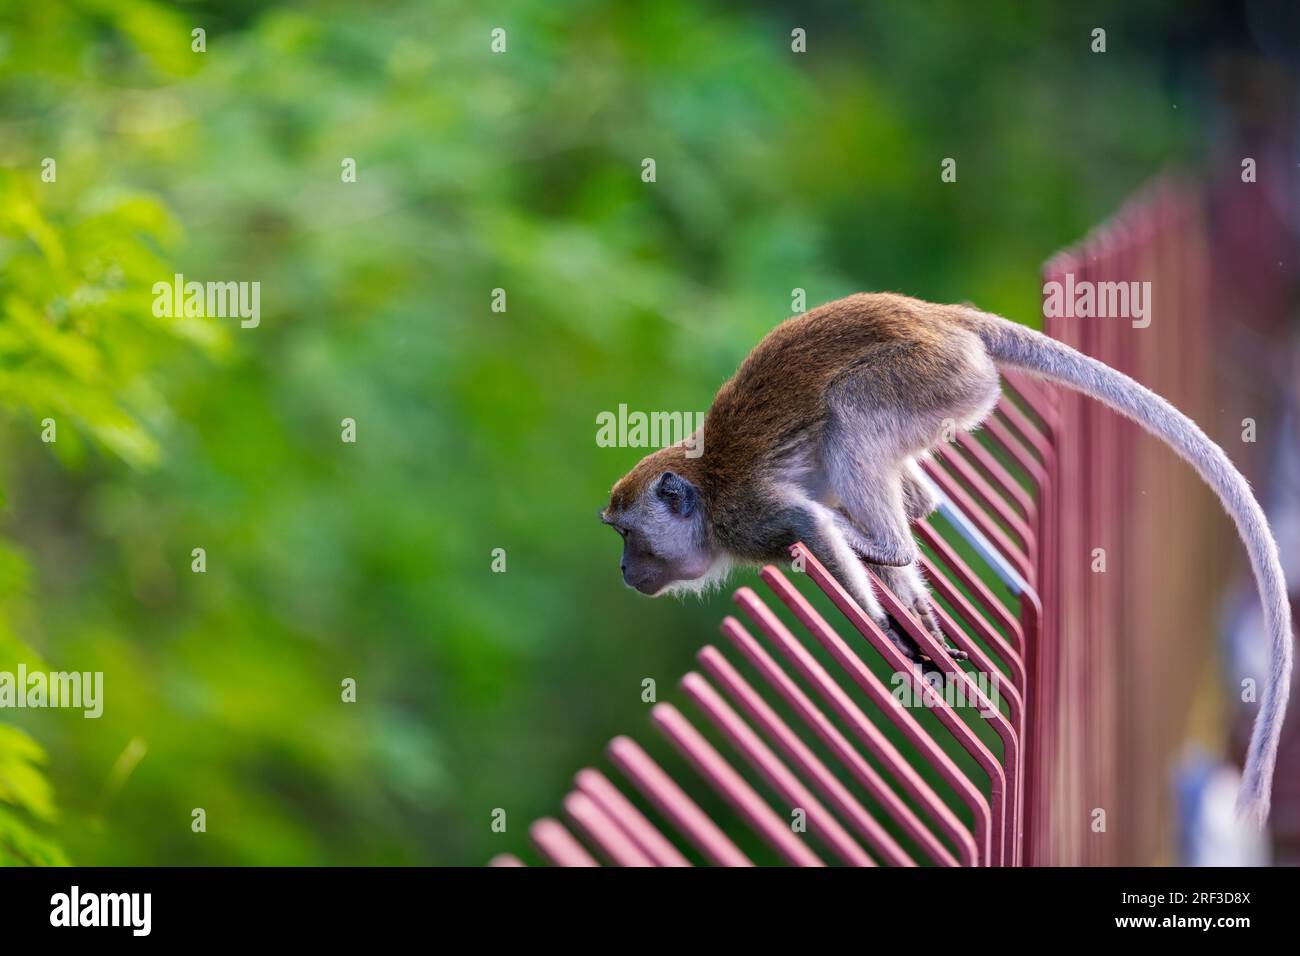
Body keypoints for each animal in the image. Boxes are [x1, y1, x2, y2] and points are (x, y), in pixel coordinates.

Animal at [601, 292, 1293, 824]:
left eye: (628, 534)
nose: (624, 569)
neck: (708, 495)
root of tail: (945, 316)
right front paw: (922, 634)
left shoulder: (750, 520)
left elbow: (810, 523)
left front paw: (890, 635)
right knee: (902, 484)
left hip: (928, 374)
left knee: (852, 413)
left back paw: (881, 540)